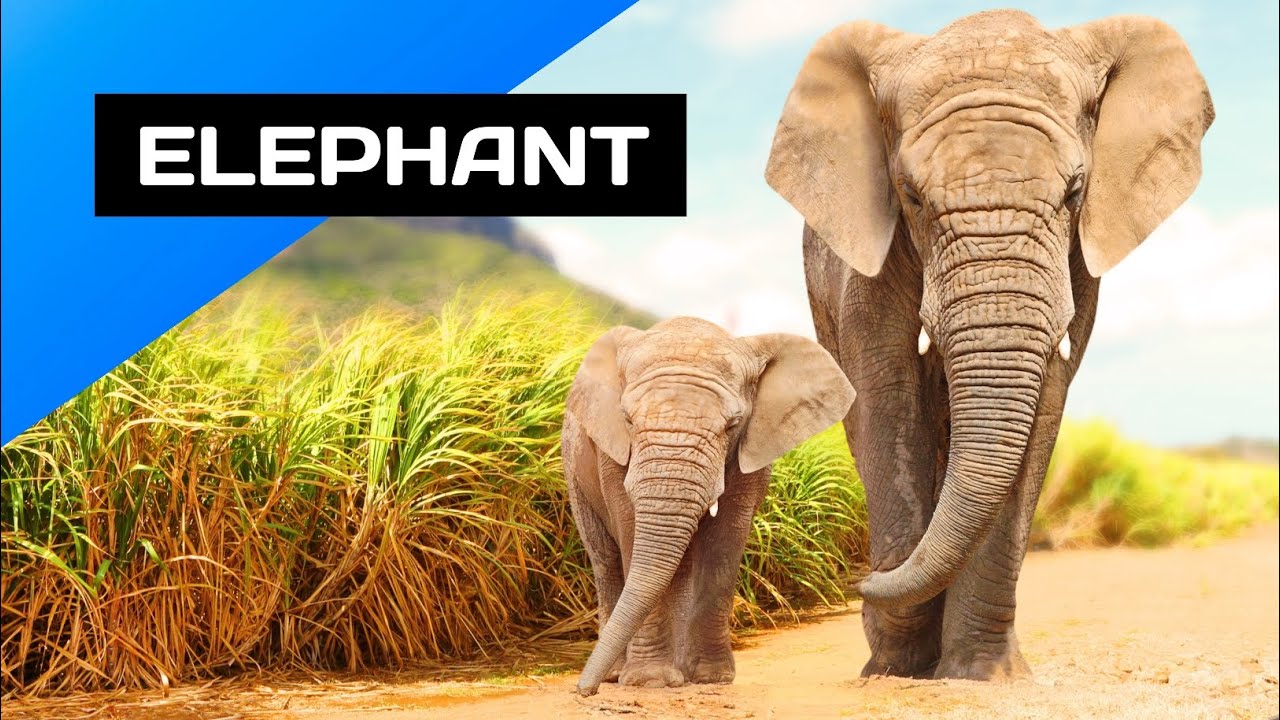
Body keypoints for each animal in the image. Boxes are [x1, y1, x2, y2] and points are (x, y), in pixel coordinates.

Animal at [564, 317, 855, 696]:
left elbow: (724, 543)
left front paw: (710, 678)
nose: (583, 690)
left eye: (732, 425)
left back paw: (679, 673)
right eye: (627, 419)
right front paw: (650, 682)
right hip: (574, 473)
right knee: (606, 560)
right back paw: (618, 674)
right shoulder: (611, 453)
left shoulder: (752, 449)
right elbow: (629, 530)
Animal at [764, 10, 1213, 680]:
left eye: (1076, 192)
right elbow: (887, 393)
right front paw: (896, 665)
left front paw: (982, 675)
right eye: (910, 195)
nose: (859, 582)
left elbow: (1044, 402)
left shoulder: (1077, 261)